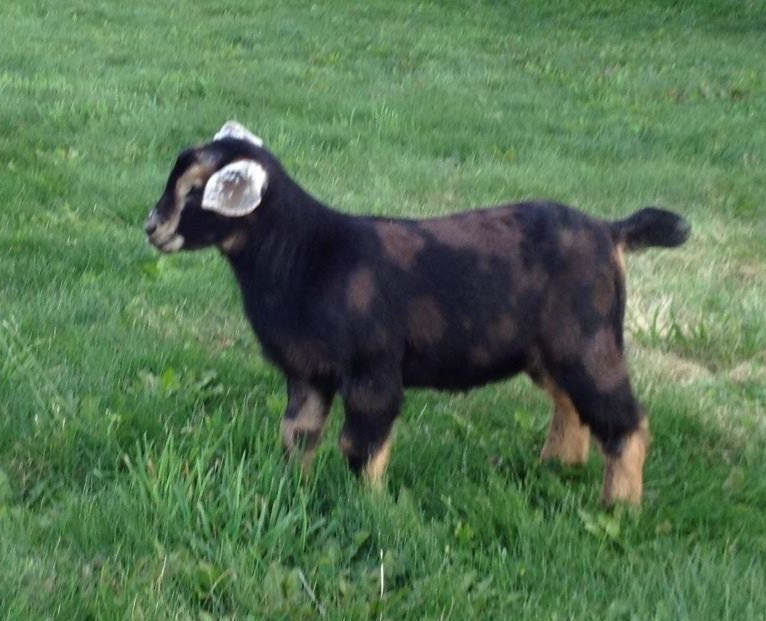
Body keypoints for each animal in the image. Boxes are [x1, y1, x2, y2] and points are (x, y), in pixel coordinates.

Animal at [145, 121, 690, 504]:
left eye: (194, 190)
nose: (151, 227)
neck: (309, 254)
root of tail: (611, 231)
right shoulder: (308, 374)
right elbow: (297, 435)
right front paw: (291, 489)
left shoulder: (372, 372)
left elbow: (359, 447)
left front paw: (366, 506)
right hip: (548, 351)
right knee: (572, 406)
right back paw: (558, 466)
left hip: (588, 342)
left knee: (626, 421)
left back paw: (618, 505)